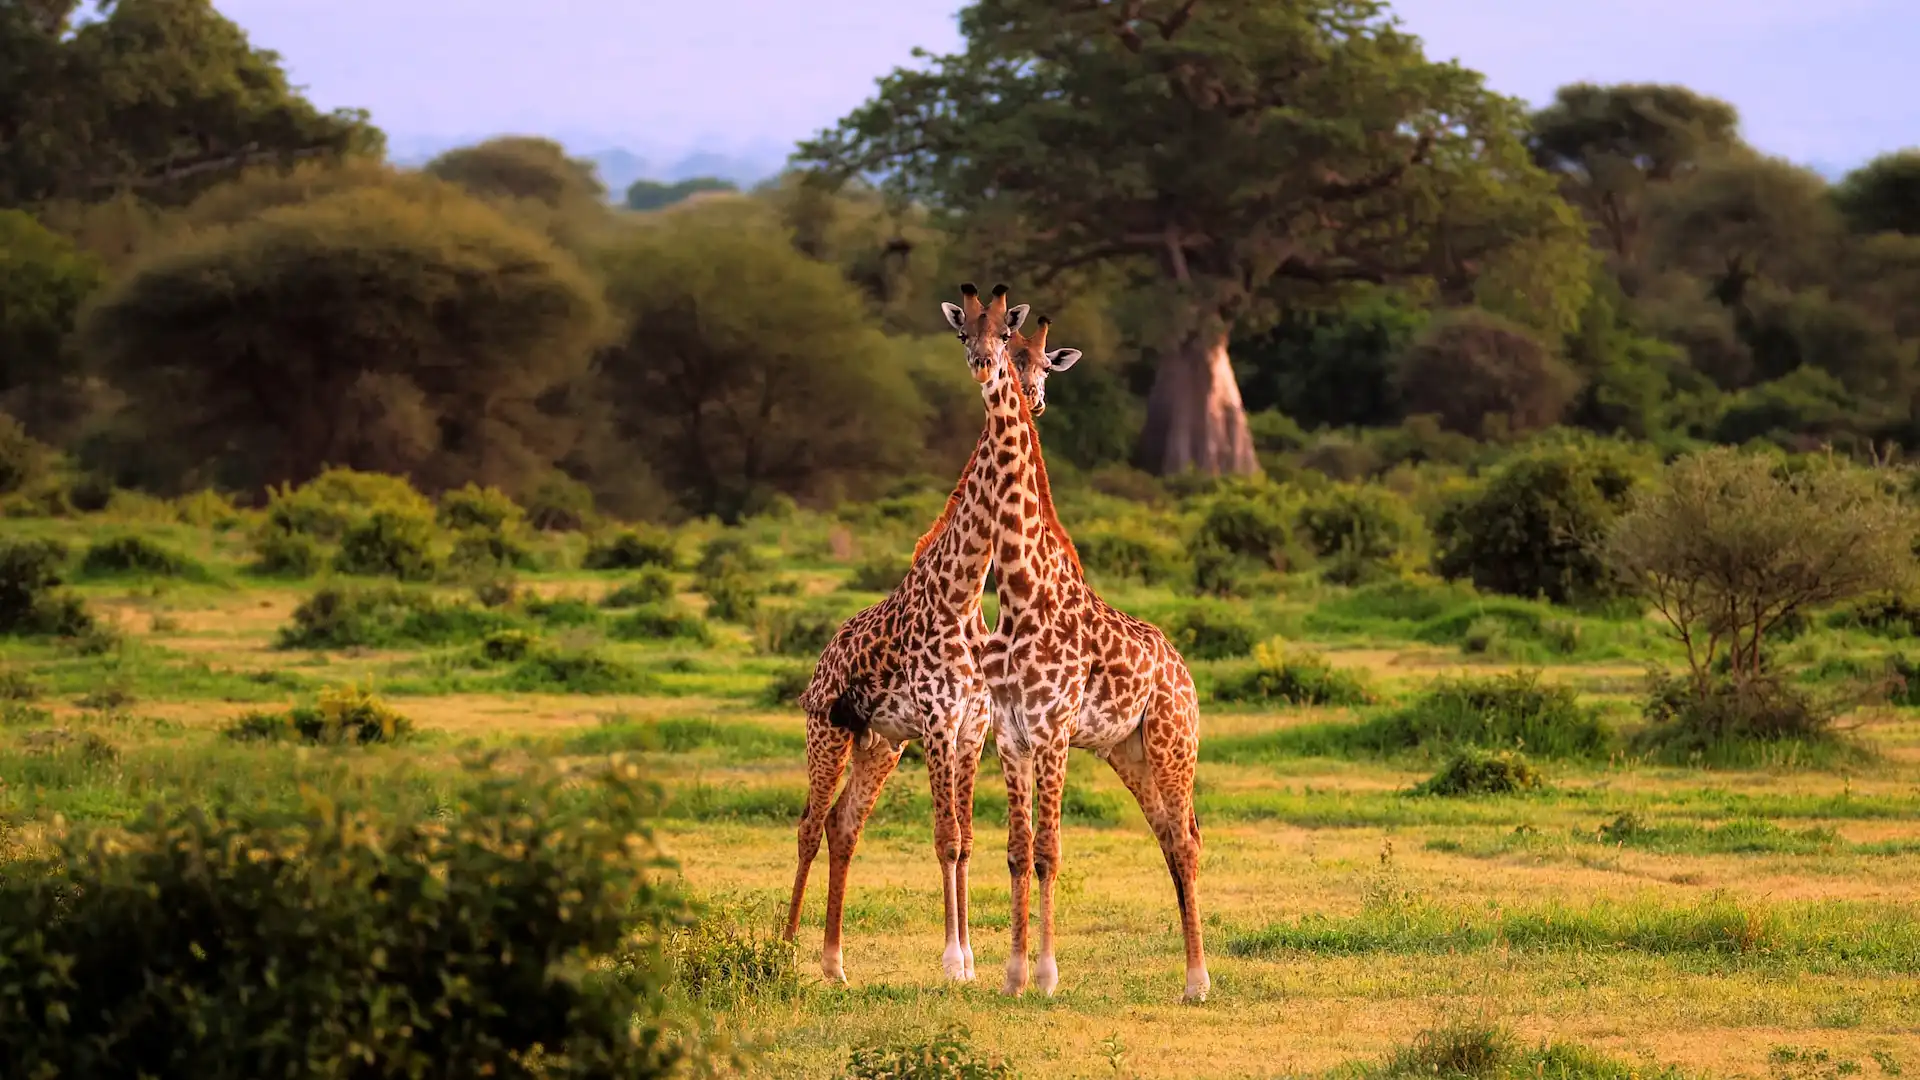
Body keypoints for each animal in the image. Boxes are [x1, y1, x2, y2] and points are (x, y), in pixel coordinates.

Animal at [783, 282, 1036, 986]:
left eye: (1007, 332)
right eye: (963, 332)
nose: (985, 367)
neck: (962, 594)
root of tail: (820, 660)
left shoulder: (969, 726)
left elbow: (966, 842)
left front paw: (969, 960)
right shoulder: (937, 722)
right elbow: (946, 840)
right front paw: (953, 961)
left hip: (880, 744)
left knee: (844, 826)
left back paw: (835, 963)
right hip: (829, 731)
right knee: (809, 824)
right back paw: (783, 951)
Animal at [977, 313, 1212, 1003]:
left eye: (1042, 363)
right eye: (1010, 355)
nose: (1030, 398)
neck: (1022, 593)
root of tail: (1185, 672)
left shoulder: (1053, 732)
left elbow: (1049, 850)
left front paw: (1047, 977)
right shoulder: (1010, 736)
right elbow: (1016, 850)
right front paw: (1012, 977)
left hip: (1172, 743)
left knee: (1188, 841)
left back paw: (1198, 982)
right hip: (1127, 752)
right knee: (1171, 838)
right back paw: (1189, 976)